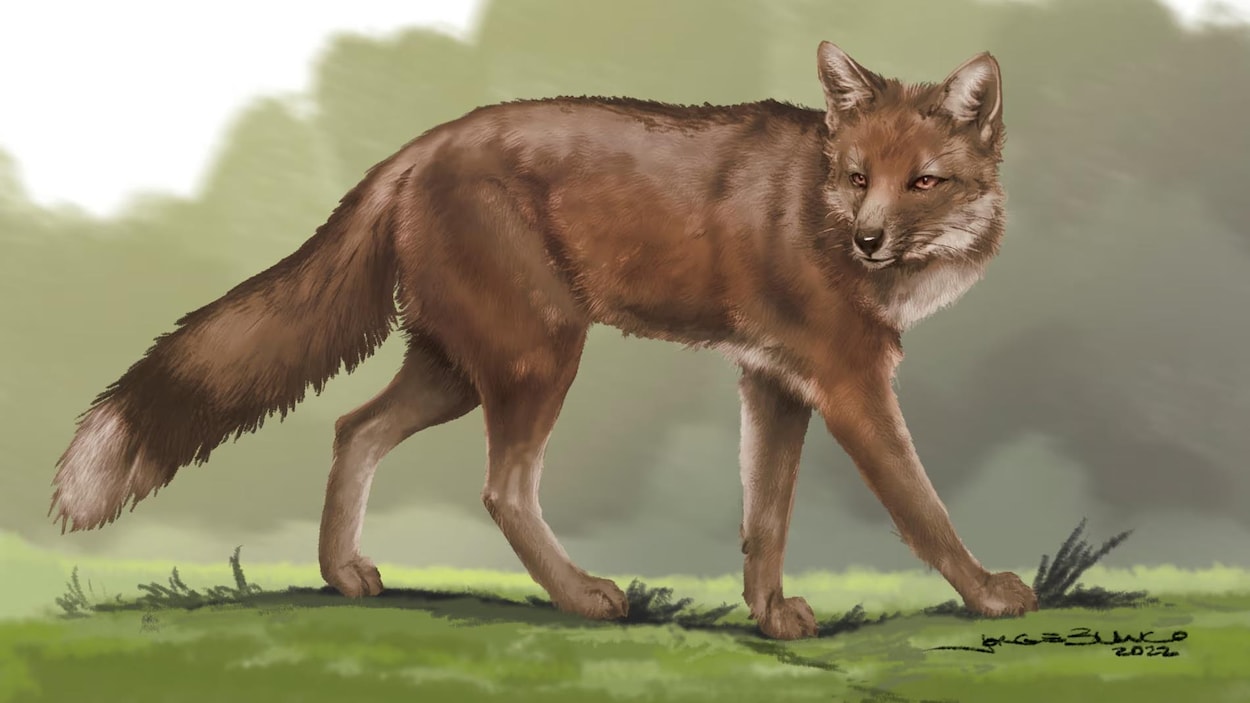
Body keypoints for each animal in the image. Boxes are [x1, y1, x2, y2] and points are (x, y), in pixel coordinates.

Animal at [51, 41, 1038, 640]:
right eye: (858, 177)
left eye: (923, 182)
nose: (869, 238)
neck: (814, 207)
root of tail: (419, 147)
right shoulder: (849, 384)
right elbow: (922, 508)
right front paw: (988, 592)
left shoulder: (776, 384)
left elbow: (765, 520)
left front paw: (767, 616)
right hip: (539, 356)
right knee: (502, 489)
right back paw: (583, 596)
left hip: (459, 369)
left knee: (352, 429)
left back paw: (342, 572)